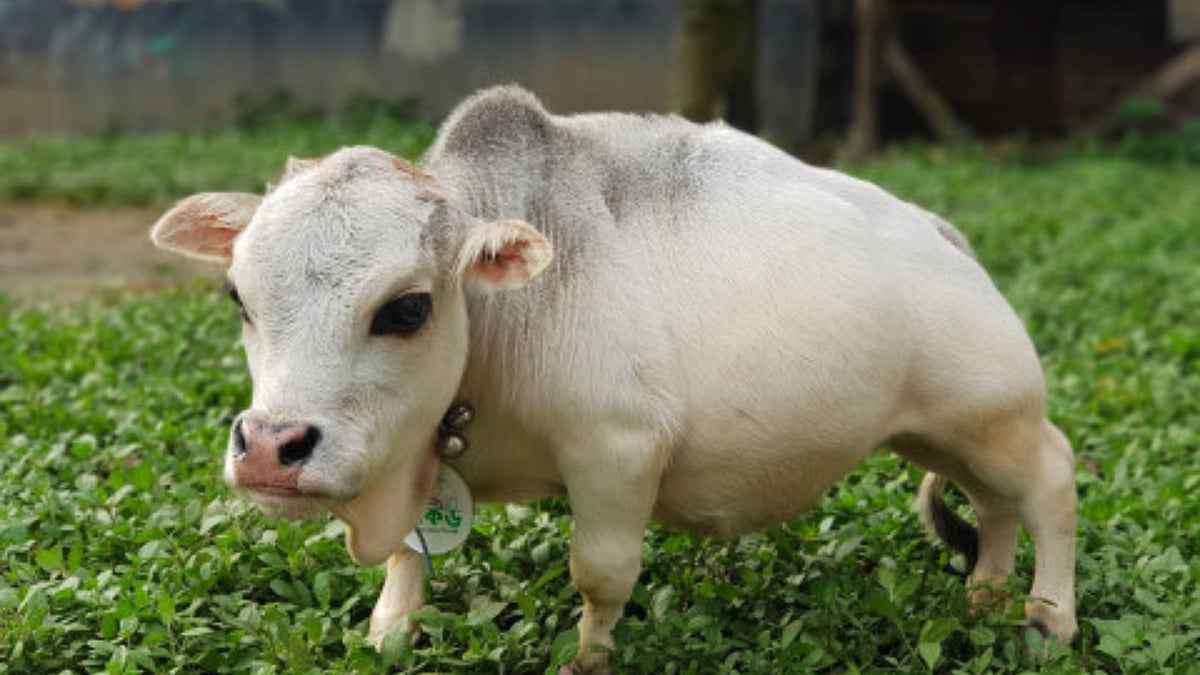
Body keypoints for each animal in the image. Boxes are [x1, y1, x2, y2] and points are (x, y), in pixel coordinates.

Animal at [150, 85, 1077, 673]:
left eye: (406, 308)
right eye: (238, 295)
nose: (269, 447)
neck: (499, 326)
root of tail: (944, 236)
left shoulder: (618, 450)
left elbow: (600, 574)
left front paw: (588, 657)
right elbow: (411, 558)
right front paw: (389, 632)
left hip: (995, 418)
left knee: (1052, 482)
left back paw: (1049, 617)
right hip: (940, 436)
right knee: (995, 505)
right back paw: (984, 596)